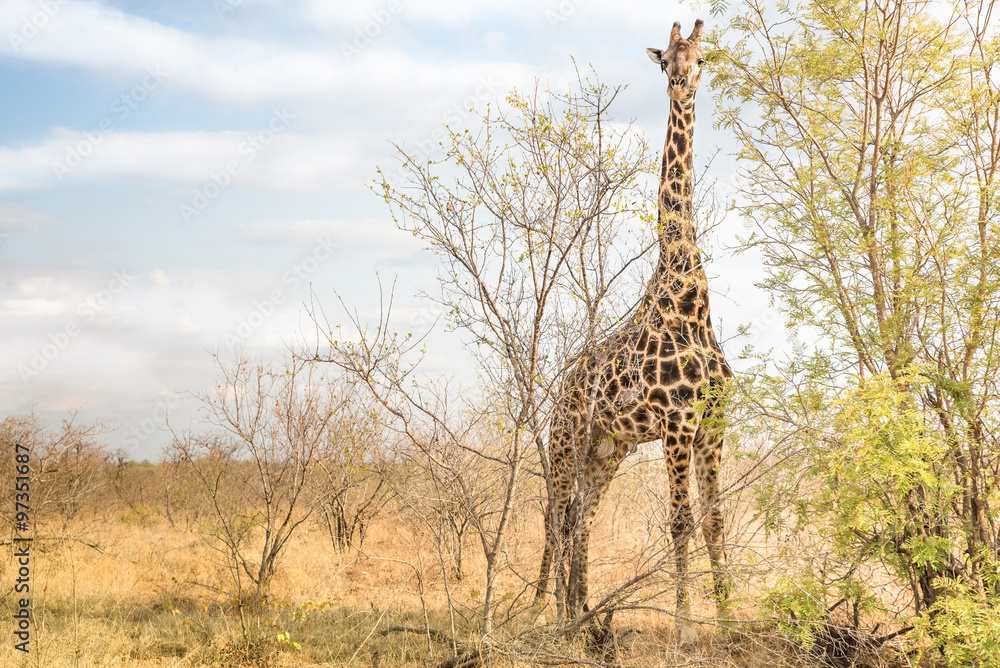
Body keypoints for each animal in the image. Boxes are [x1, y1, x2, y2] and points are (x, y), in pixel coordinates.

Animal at [534, 19, 732, 642]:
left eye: (702, 57)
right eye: (665, 57)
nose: (680, 80)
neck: (691, 300)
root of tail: (560, 387)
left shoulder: (712, 426)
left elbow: (714, 521)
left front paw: (730, 619)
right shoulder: (676, 425)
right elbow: (680, 522)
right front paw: (687, 628)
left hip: (608, 447)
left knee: (580, 518)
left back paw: (580, 615)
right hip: (566, 439)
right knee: (555, 515)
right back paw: (541, 614)